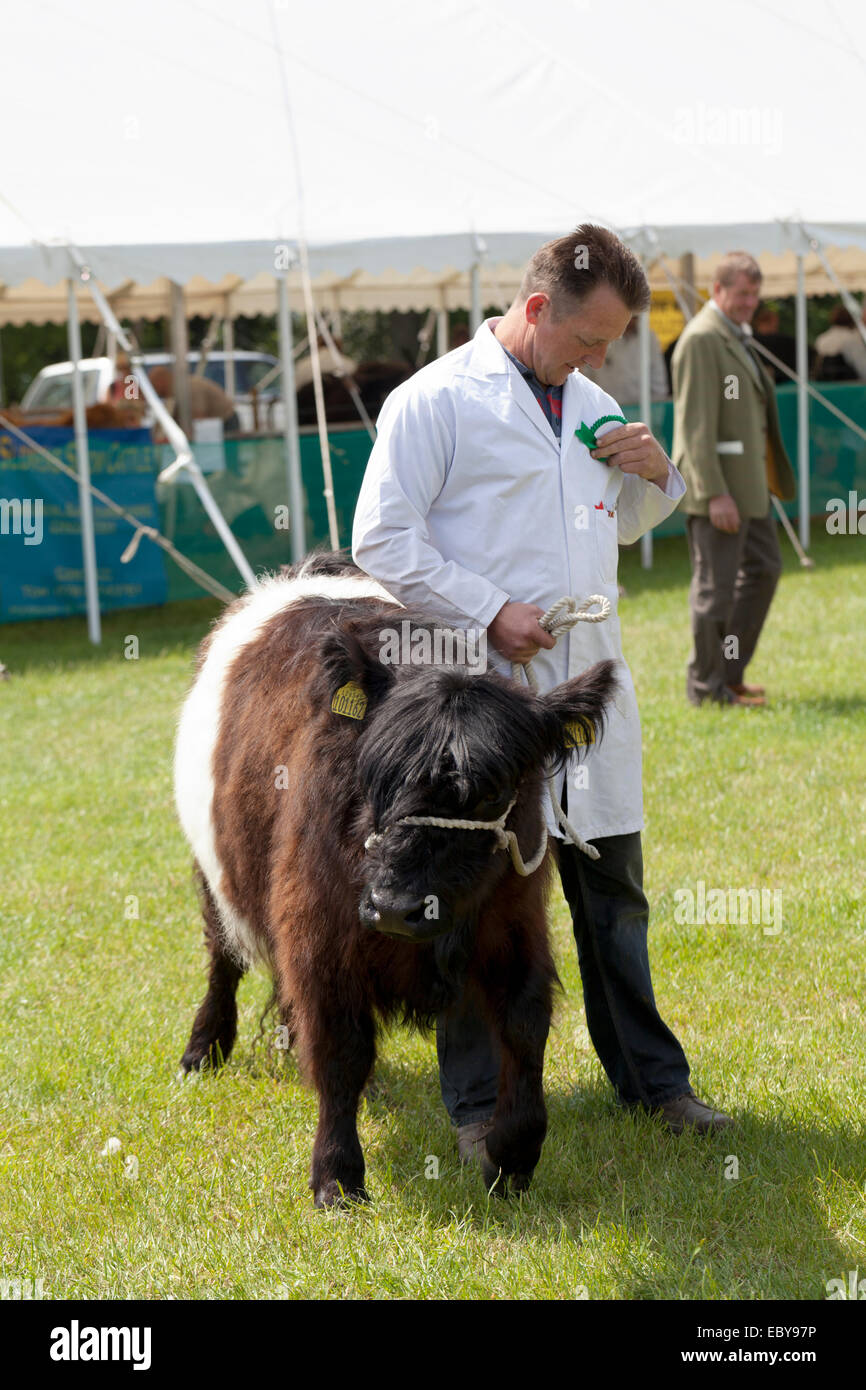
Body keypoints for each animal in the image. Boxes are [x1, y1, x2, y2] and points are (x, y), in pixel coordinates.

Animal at [174, 553, 616, 1207]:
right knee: (223, 956)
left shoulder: (514, 919)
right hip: (216, 869)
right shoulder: (319, 930)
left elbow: (524, 1022)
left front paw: (512, 1155)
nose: (393, 908)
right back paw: (202, 1050)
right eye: (372, 775)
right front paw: (337, 1177)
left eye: (491, 793)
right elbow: (340, 1047)